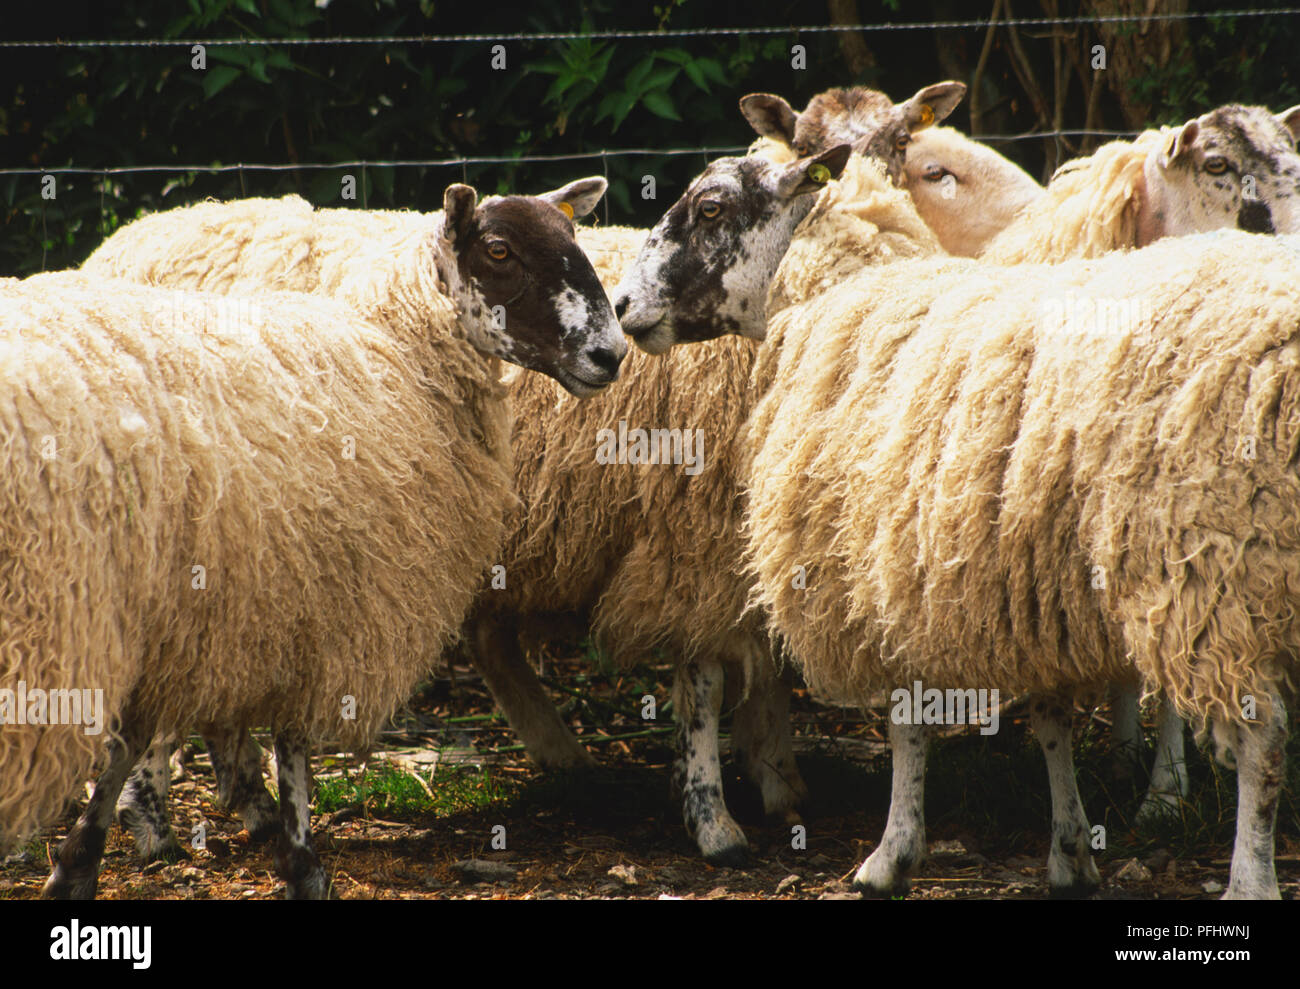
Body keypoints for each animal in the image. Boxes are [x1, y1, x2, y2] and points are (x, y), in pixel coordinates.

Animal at [23, 178, 623, 899]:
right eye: (500, 249)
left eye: (573, 237)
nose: (611, 353)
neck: (392, 347)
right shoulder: (320, 593)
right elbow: (272, 738)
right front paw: (299, 859)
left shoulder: (218, 601)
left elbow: (154, 729)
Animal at [617, 150, 1300, 899]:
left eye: (710, 208)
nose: (619, 306)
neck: (840, 291)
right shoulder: (1023, 576)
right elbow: (1051, 718)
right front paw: (1069, 853)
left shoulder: (887, 565)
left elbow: (907, 720)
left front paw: (891, 854)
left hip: (1213, 560)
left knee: (1262, 741)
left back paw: (1250, 879)